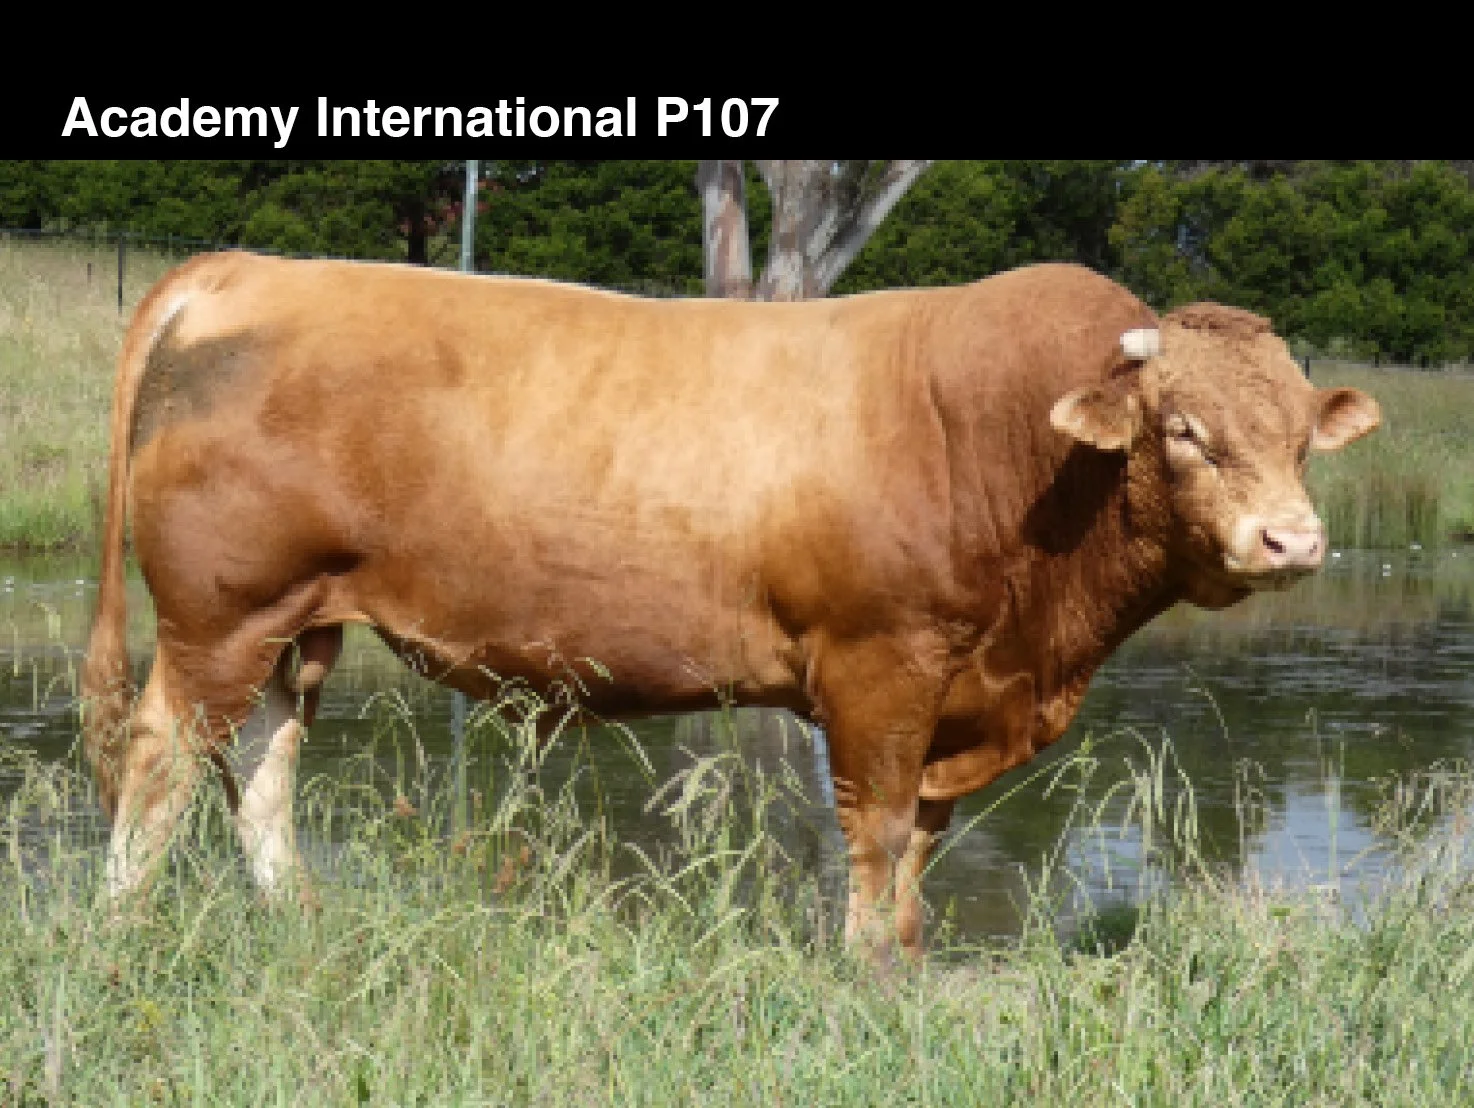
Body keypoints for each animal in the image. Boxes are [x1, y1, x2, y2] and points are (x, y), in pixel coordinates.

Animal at [79, 251, 1381, 963]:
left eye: (1300, 433)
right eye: (1184, 430)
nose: (1294, 540)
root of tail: (245, 269)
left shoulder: (958, 694)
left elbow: (924, 834)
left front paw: (909, 957)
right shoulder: (880, 663)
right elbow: (877, 828)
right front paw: (864, 970)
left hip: (295, 624)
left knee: (261, 764)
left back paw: (294, 916)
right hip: (218, 613)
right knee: (162, 757)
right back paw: (120, 931)